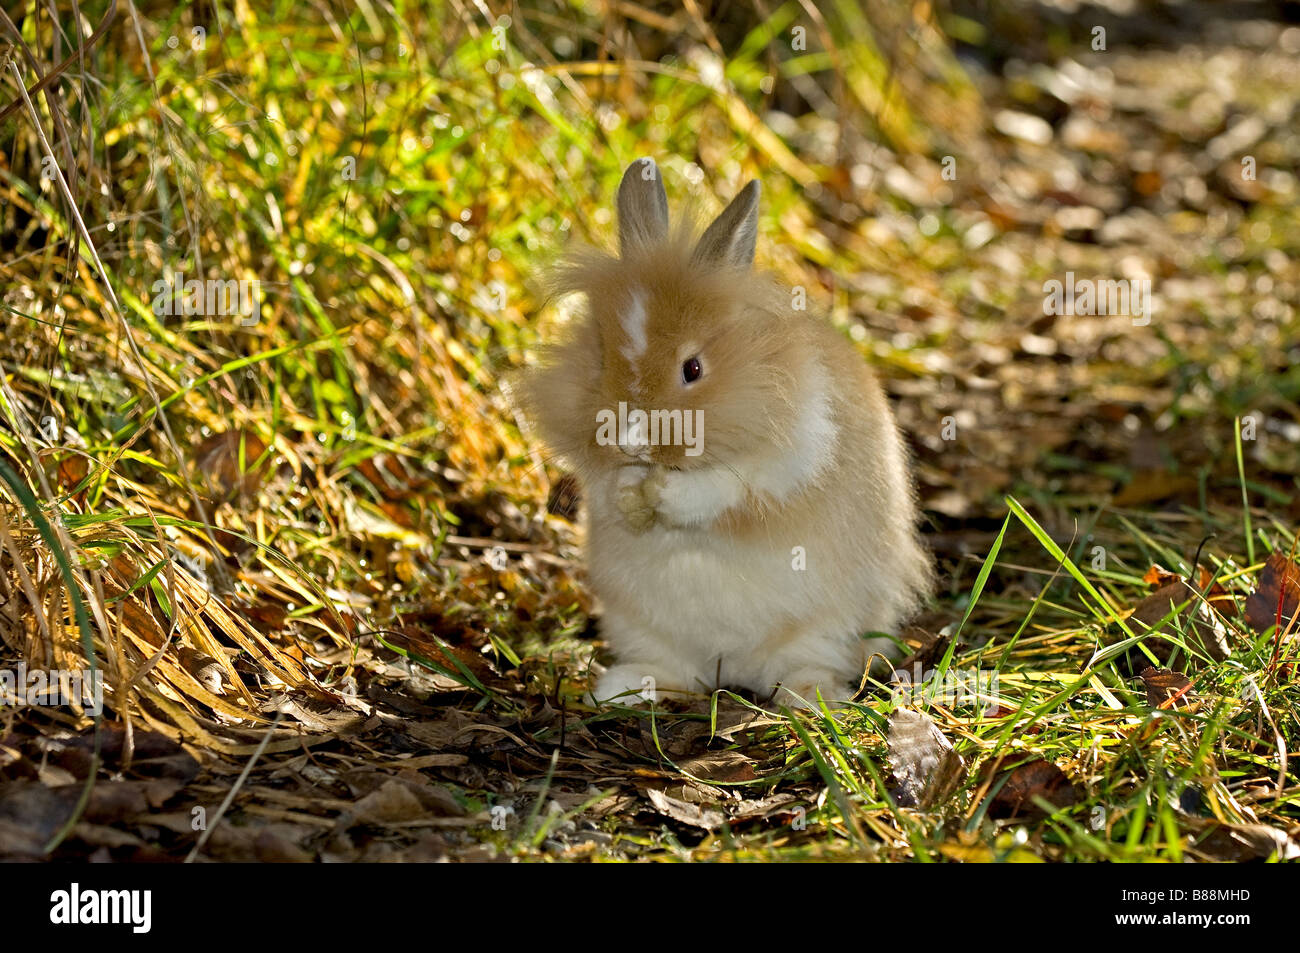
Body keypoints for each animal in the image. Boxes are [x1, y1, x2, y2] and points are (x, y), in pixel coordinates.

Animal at [517, 157, 932, 708]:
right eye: (601, 359)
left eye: (692, 368)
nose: (630, 439)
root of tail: (731, 668)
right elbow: (607, 491)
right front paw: (629, 492)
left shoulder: (783, 466)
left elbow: (719, 492)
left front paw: (663, 495)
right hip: (636, 625)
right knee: (675, 671)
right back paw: (621, 689)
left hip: (830, 626)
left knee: (802, 666)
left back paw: (812, 698)